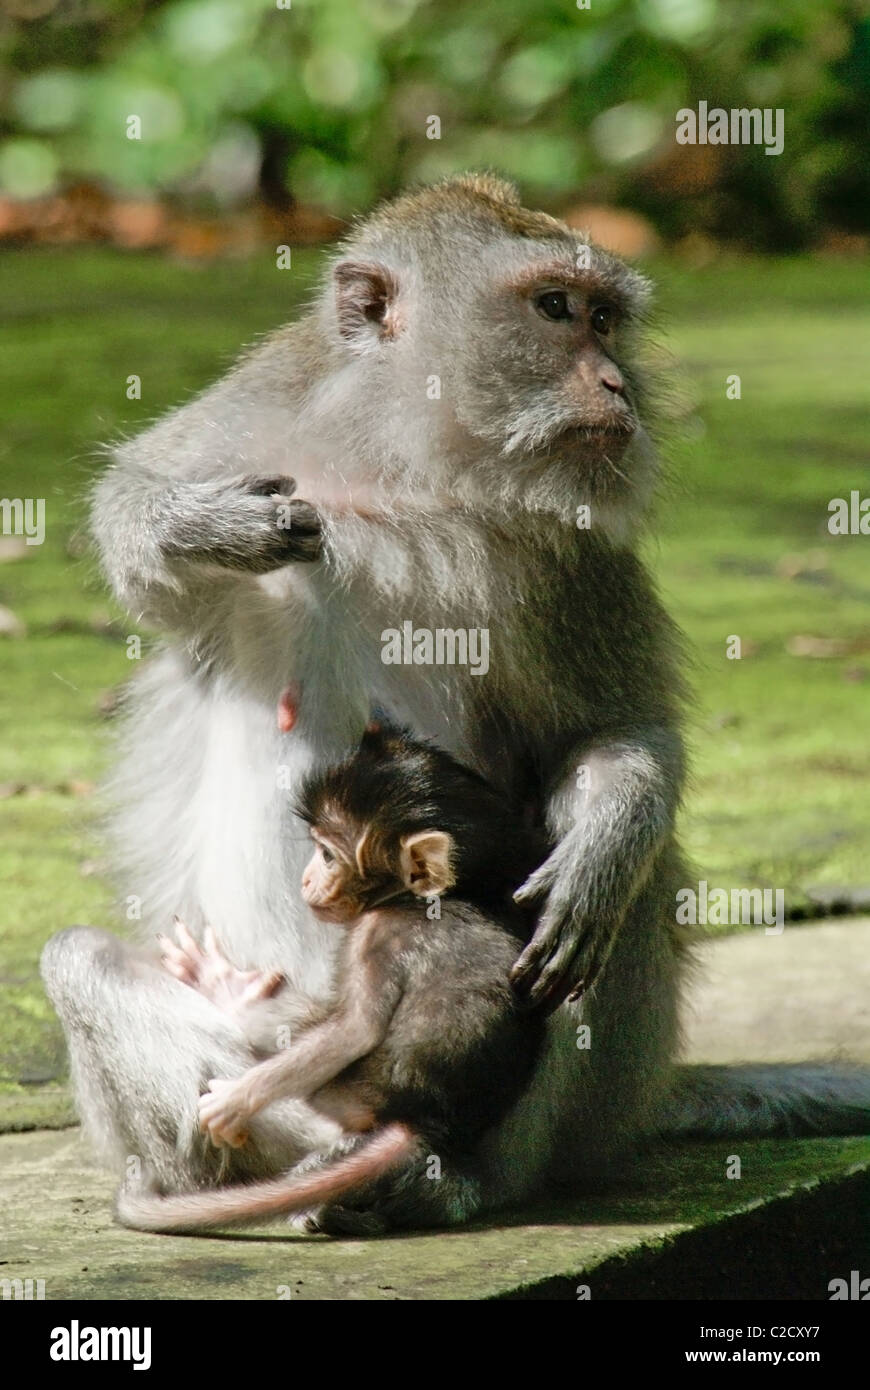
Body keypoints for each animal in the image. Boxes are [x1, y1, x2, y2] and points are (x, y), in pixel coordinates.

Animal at [117, 726, 549, 1232]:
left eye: (326, 854)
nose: (305, 879)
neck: (427, 898)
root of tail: (422, 1123)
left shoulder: (375, 934)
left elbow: (353, 1030)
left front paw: (236, 1100)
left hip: (347, 1095)